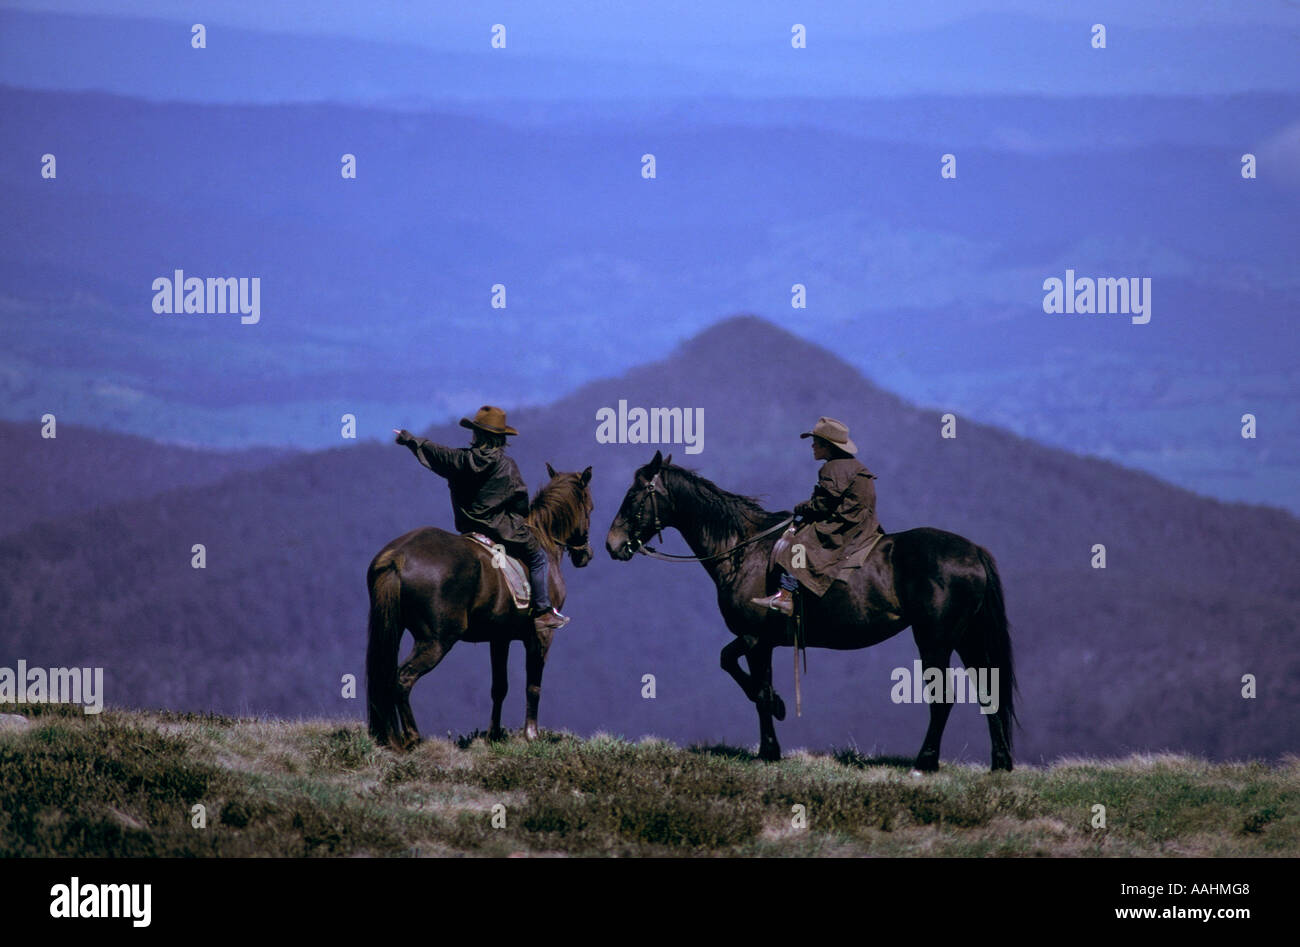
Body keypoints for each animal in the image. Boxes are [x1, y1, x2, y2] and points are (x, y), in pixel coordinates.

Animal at [366, 463, 594, 749]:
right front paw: (531, 735)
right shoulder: (541, 635)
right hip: (435, 641)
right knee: (403, 678)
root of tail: (398, 556)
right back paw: (412, 737)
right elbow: (533, 685)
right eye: (590, 508)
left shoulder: (499, 638)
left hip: (393, 629)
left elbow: (499, 687)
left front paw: (493, 735)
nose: (586, 555)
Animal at [605, 451, 1017, 771]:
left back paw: (925, 762)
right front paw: (777, 716)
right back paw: (1000, 762)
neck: (742, 550)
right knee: (988, 692)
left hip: (935, 641)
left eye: (634, 495)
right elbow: (735, 667)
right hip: (967, 639)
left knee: (942, 699)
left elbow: (756, 689)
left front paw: (770, 745)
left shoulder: (754, 639)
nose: (612, 544)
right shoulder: (761, 640)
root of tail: (973, 552)